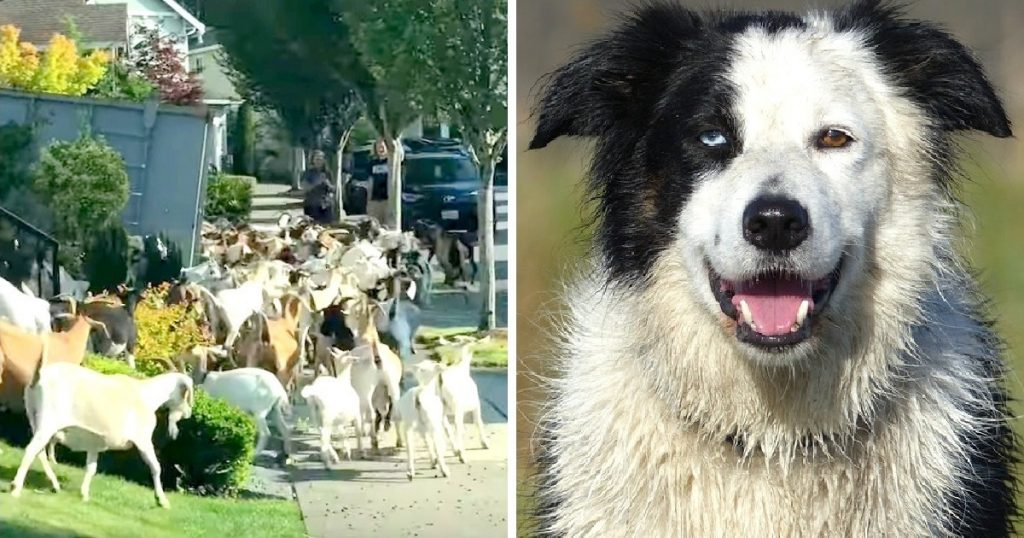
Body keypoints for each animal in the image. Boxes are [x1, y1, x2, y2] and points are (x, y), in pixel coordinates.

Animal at [10, 361, 193, 508]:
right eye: (185, 394)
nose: (189, 412)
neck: (146, 395)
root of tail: (38, 377)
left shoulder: (94, 443)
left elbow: (91, 468)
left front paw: (84, 494)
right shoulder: (143, 440)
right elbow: (156, 467)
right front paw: (162, 501)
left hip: (34, 417)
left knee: (39, 452)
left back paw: (55, 485)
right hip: (48, 422)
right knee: (31, 450)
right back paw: (15, 488)